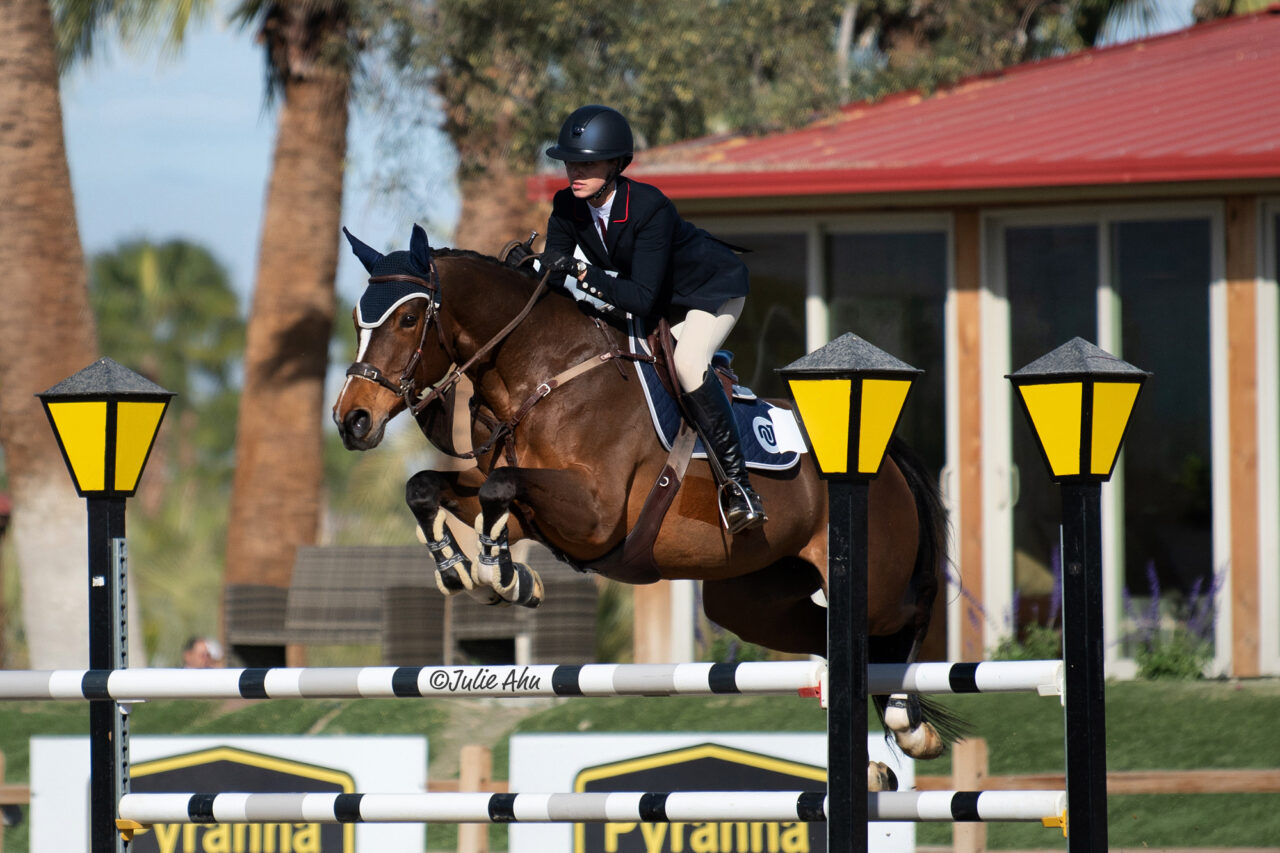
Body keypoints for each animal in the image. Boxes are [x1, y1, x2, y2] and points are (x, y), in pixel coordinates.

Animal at [331, 225, 963, 780]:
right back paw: (876, 758)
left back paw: (910, 724)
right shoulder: (537, 509)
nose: (351, 420)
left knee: (907, 615)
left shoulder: (595, 515)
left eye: (408, 318)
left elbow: (498, 487)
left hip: (873, 580)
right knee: (831, 642)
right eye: (359, 320)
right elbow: (429, 488)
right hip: (751, 600)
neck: (546, 376)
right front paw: (464, 570)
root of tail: (879, 460)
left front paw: (501, 575)